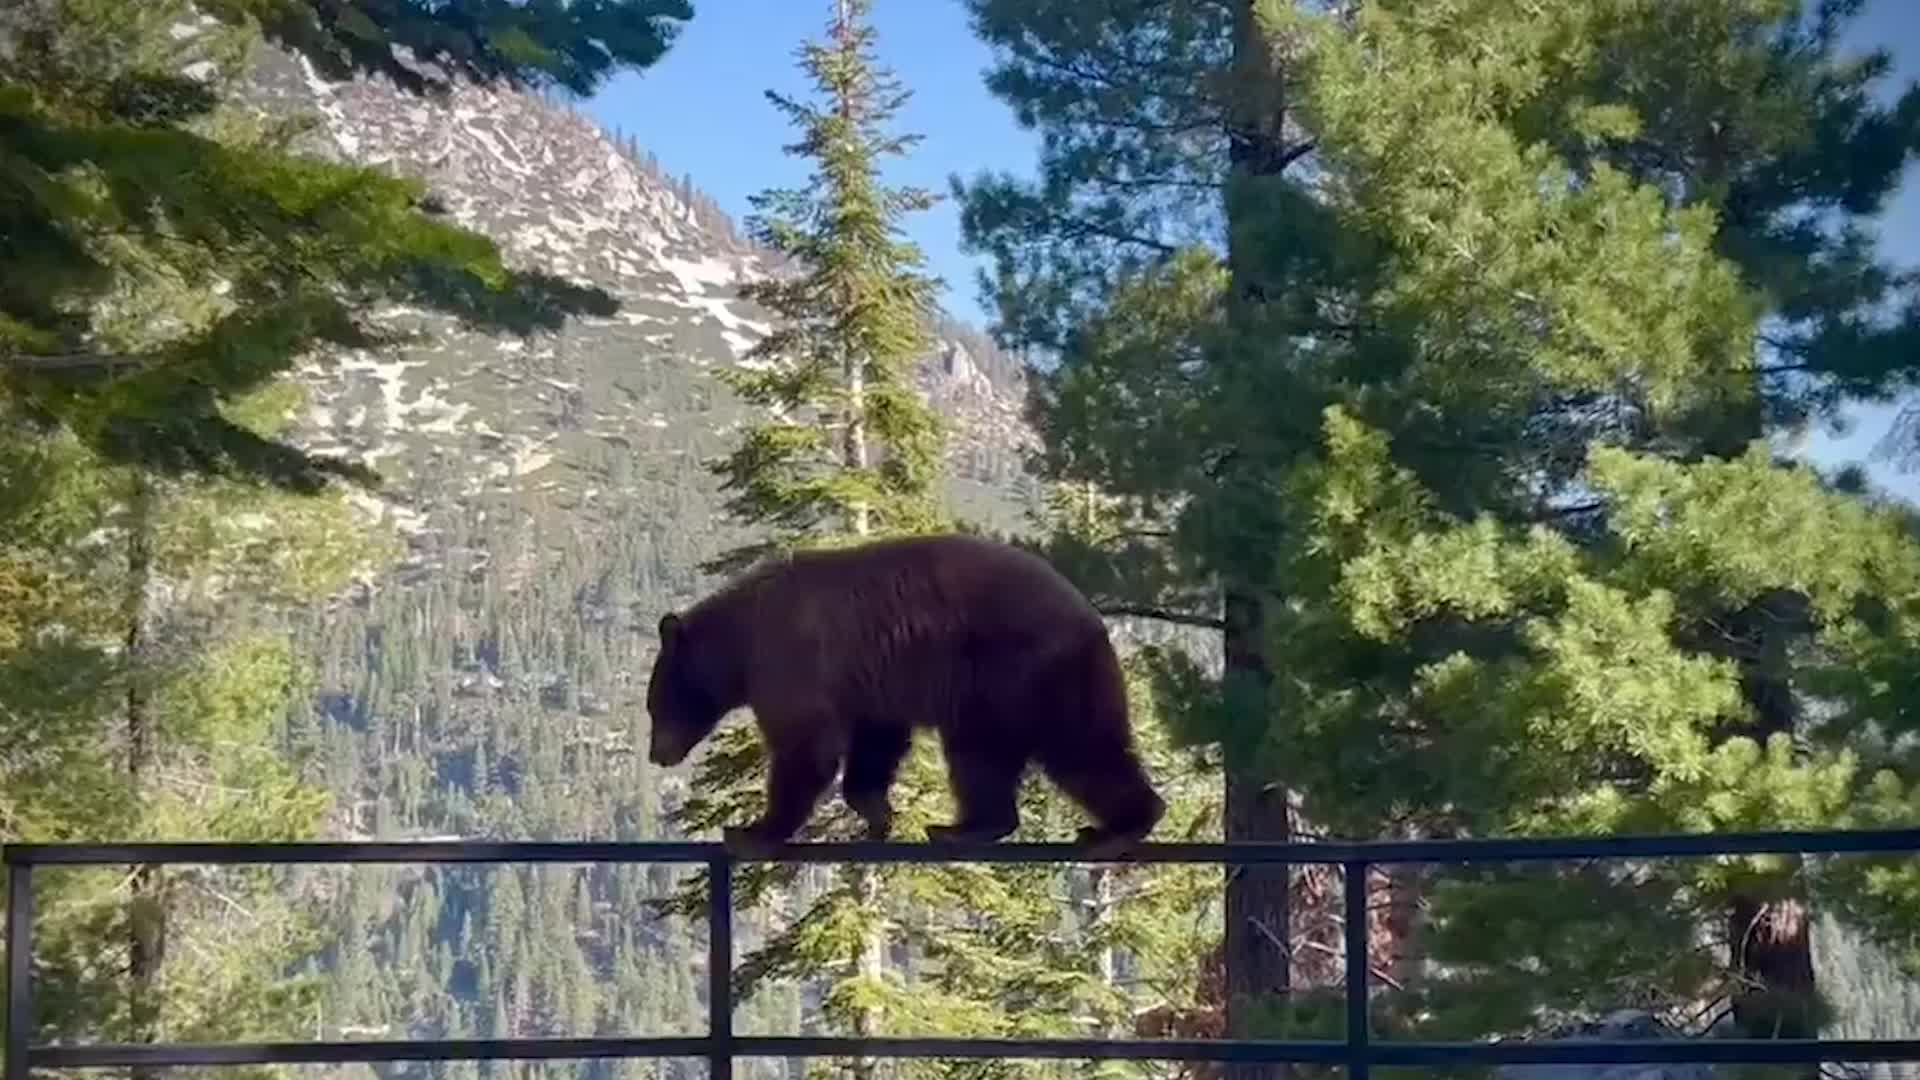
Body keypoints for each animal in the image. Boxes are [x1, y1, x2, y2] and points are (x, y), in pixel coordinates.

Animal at [644, 532, 1167, 860]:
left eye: (653, 705)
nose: (657, 755)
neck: (740, 639)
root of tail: (1092, 619)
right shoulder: (872, 681)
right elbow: (877, 737)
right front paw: (875, 810)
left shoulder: (790, 660)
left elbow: (805, 746)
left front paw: (755, 831)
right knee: (1073, 751)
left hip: (1013, 673)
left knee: (1034, 749)